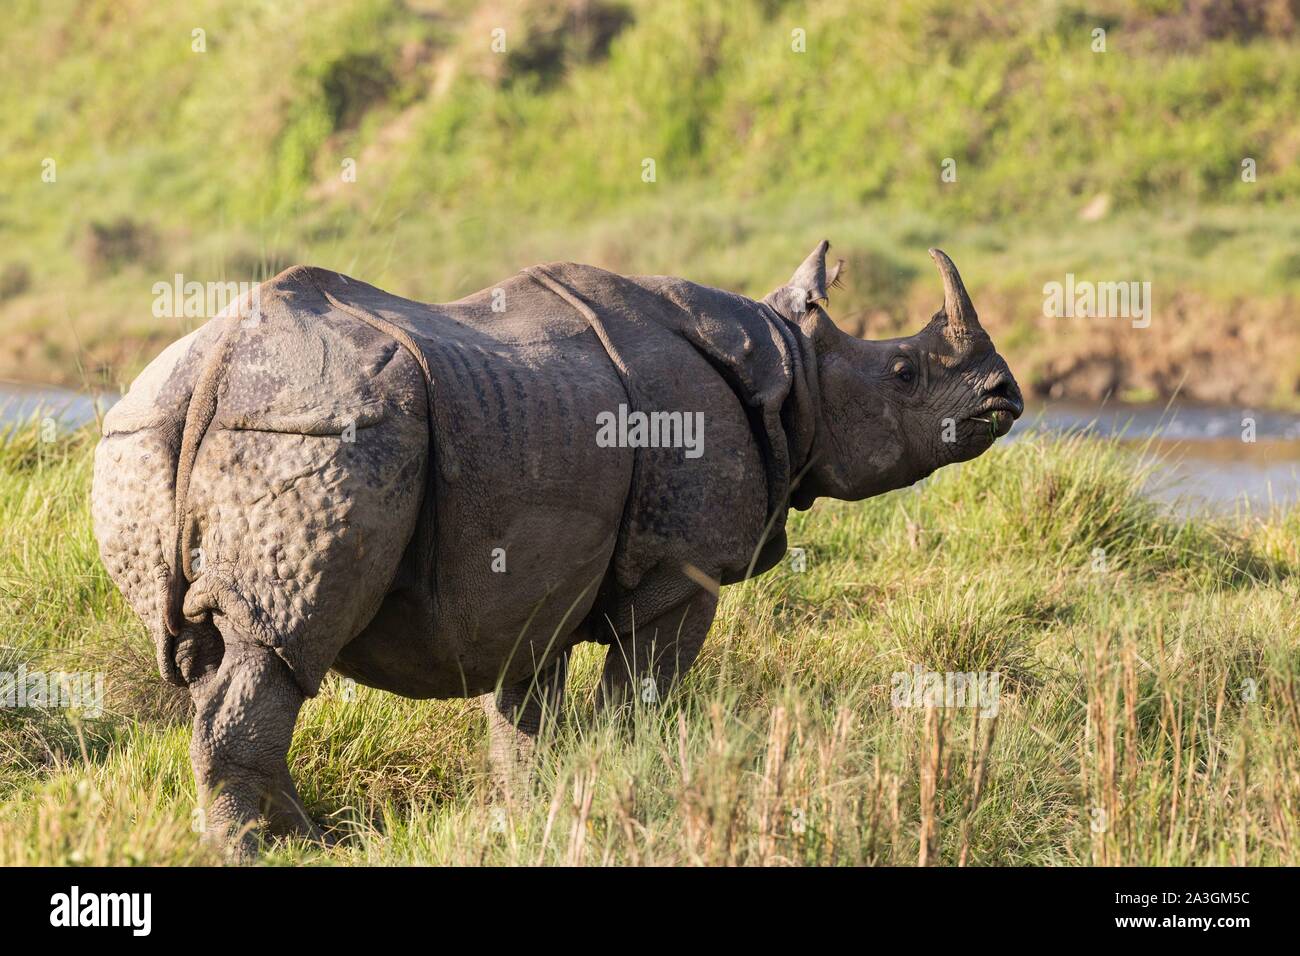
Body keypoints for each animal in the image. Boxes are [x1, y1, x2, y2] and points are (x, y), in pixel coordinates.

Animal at [91, 242, 1021, 855]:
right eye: (904, 376)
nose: (1005, 396)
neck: (793, 368)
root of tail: (217, 360)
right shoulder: (679, 571)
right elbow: (640, 694)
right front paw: (626, 784)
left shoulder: (531, 582)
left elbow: (524, 712)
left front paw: (531, 813)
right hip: (315, 421)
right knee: (276, 648)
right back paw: (271, 848)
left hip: (144, 428)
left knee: (219, 653)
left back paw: (298, 837)